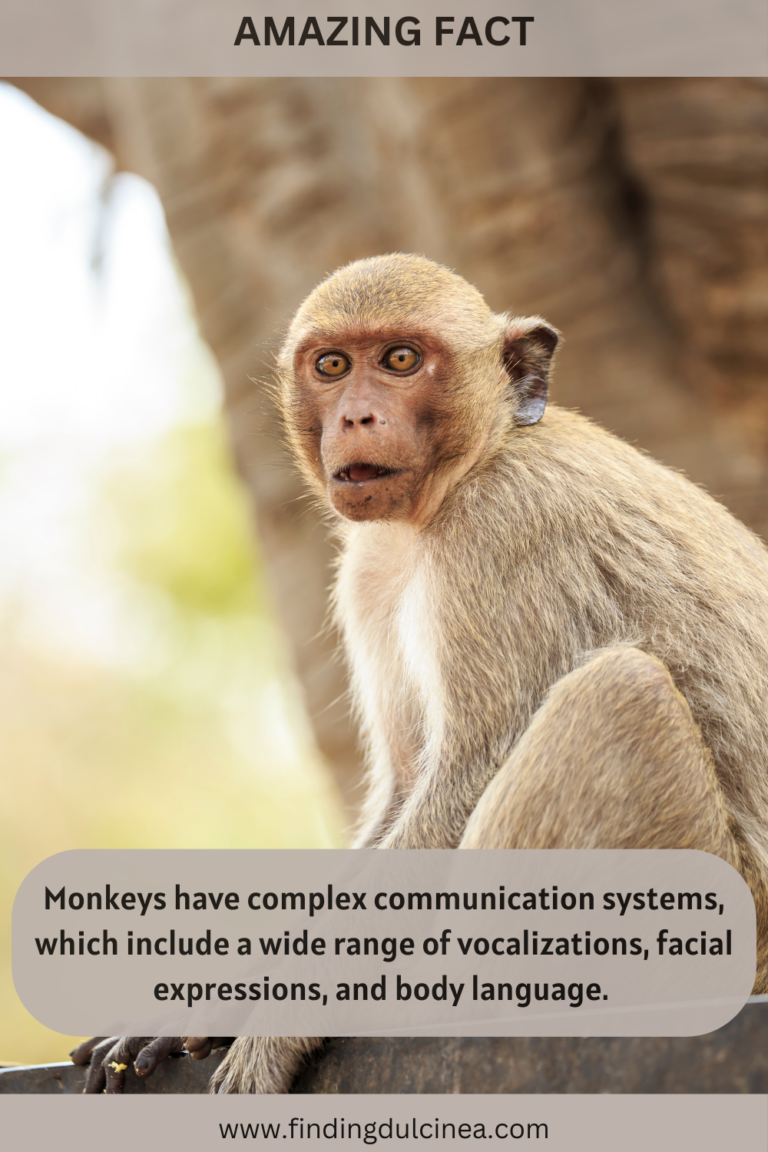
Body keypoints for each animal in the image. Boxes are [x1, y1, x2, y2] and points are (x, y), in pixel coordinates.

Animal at [72, 252, 768, 1094]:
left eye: (401, 360)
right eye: (333, 367)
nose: (356, 419)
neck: (474, 464)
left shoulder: (499, 527)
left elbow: (464, 777)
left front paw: (274, 1022)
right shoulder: (368, 568)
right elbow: (407, 788)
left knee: (615, 693)